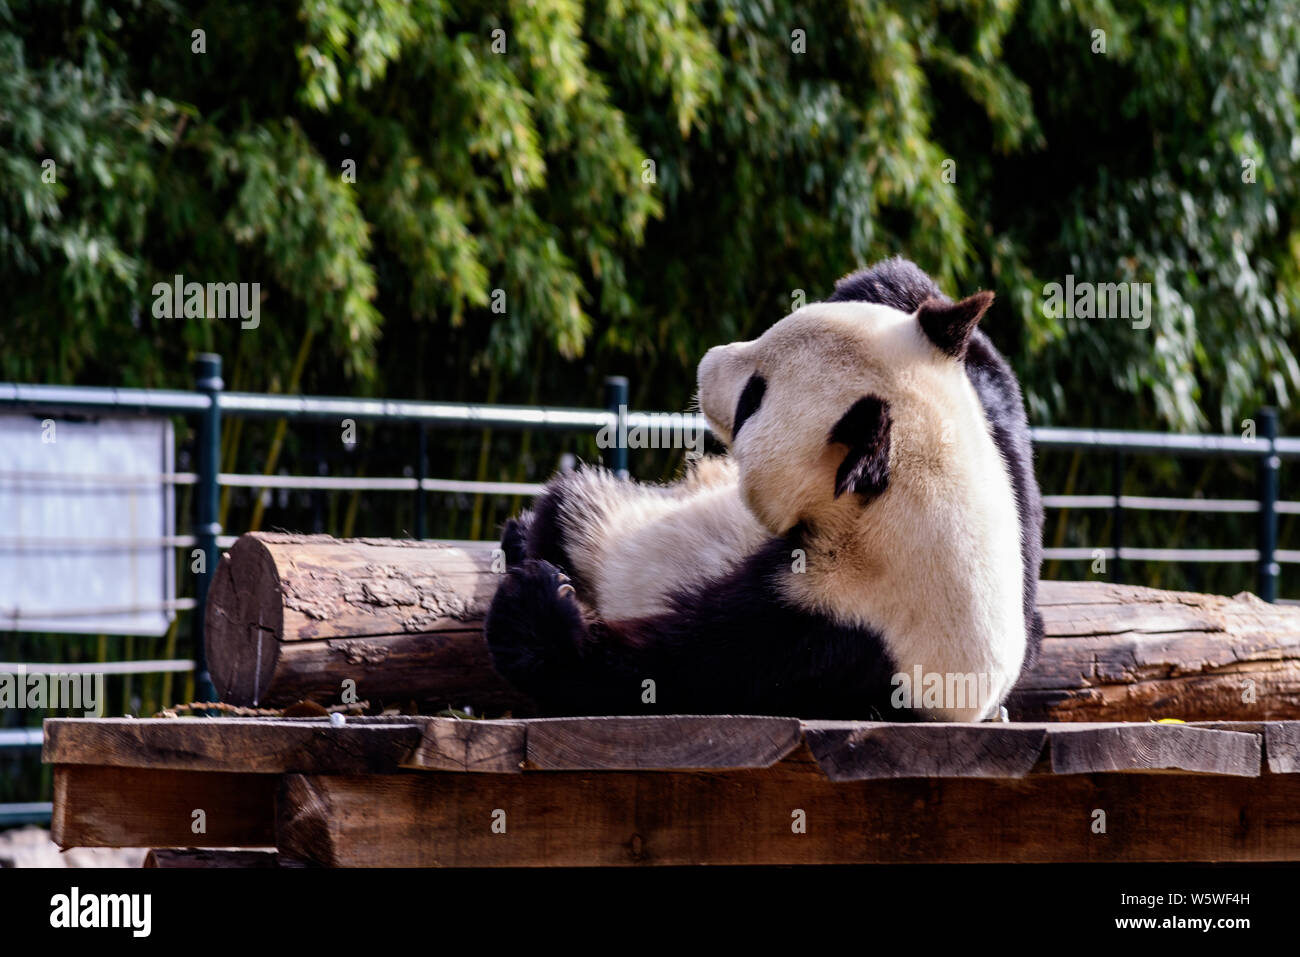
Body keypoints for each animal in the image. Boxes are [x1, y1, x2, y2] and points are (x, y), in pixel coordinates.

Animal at [484, 258, 1043, 721]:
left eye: (753, 397)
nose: (706, 362)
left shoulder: (832, 634)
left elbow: (668, 678)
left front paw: (536, 604)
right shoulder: (1007, 477)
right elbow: (994, 384)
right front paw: (885, 286)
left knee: (569, 509)